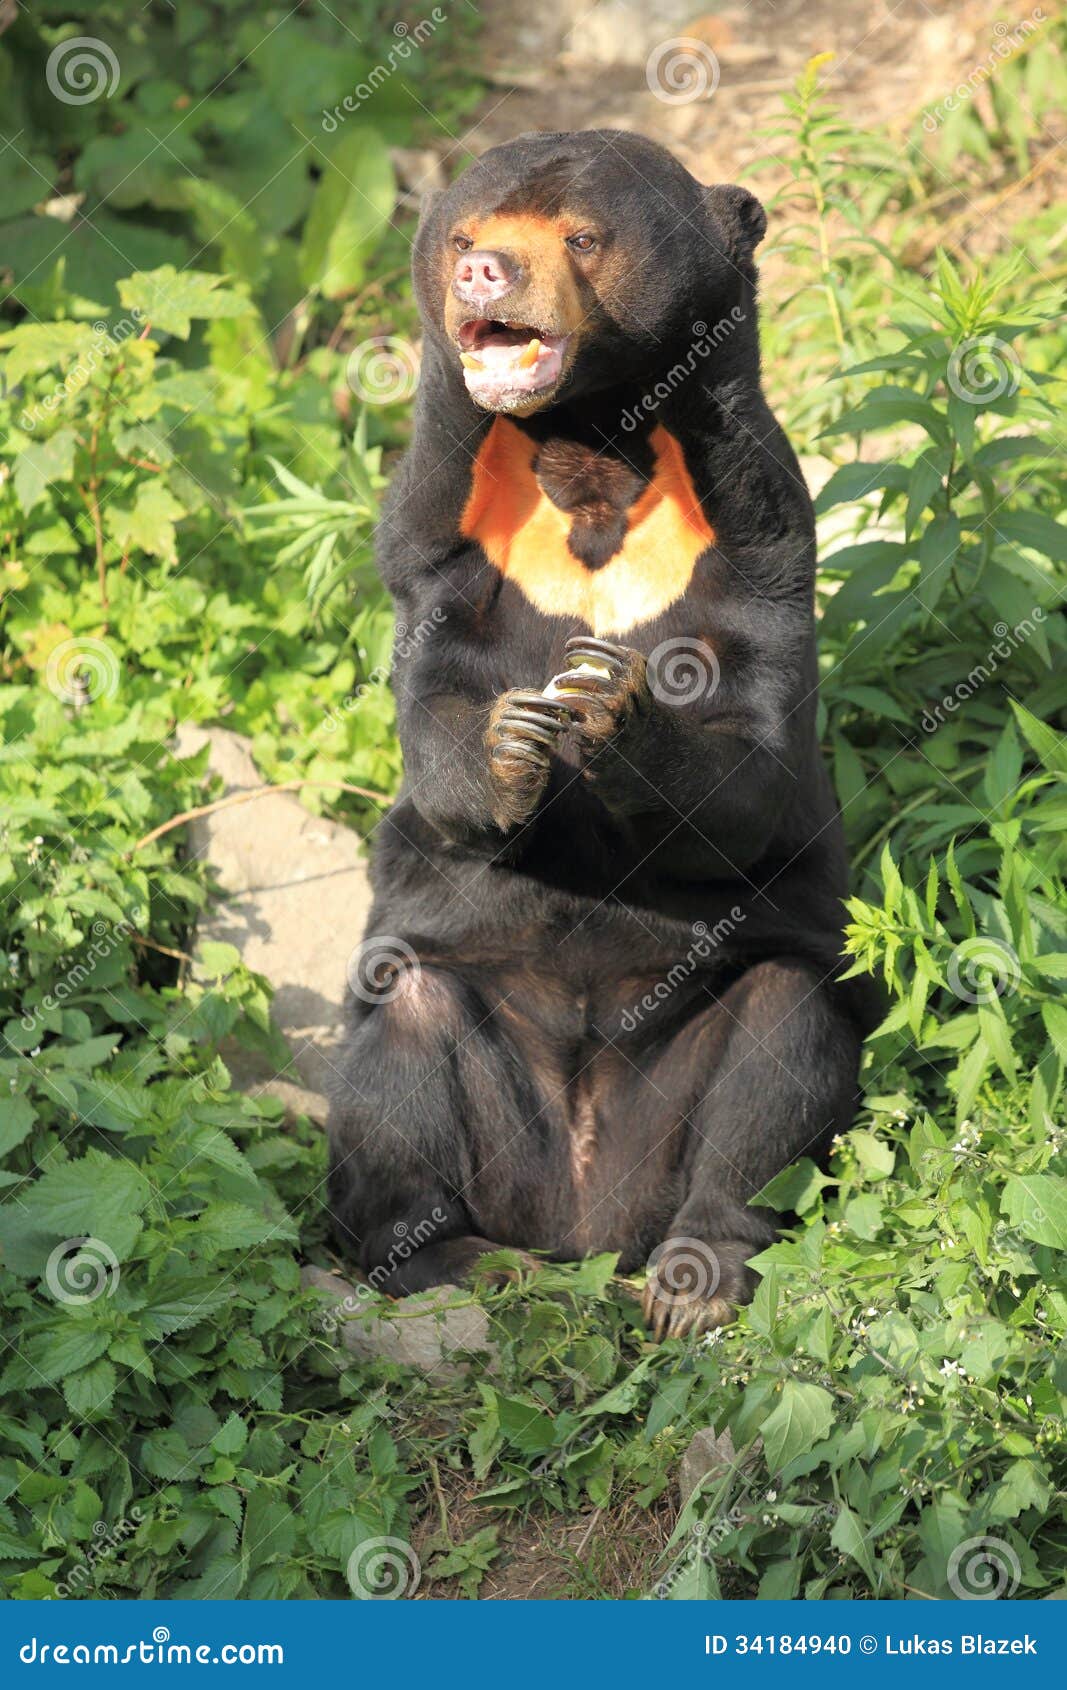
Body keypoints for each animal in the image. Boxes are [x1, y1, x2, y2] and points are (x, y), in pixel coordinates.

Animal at [327, 129, 875, 1339]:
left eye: (579, 237)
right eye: (467, 237)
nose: (486, 275)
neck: (582, 446)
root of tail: (580, 1213)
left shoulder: (761, 536)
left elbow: (750, 750)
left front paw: (607, 707)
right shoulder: (436, 535)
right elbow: (434, 704)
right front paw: (514, 743)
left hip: (701, 1072)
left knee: (778, 1058)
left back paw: (691, 1278)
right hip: (459, 1044)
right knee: (397, 1052)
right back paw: (460, 1262)